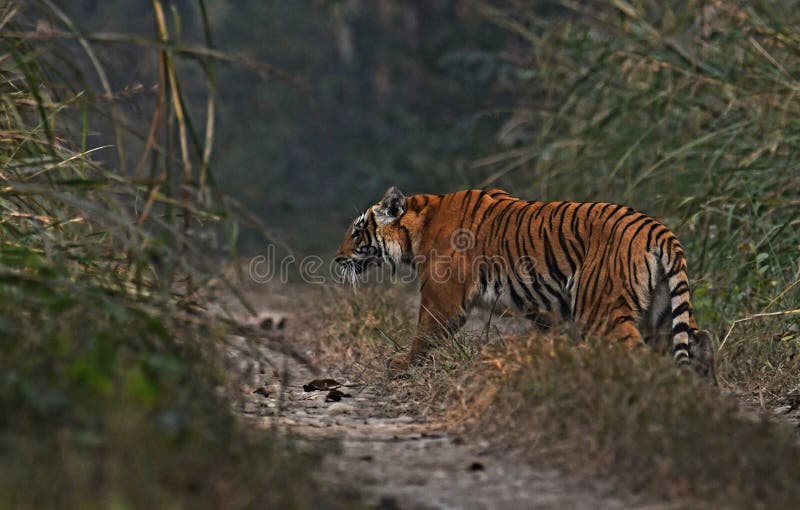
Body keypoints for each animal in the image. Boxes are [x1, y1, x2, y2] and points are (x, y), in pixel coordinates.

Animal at [335, 186, 715, 381]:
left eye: (357, 230)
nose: (337, 259)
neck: (420, 224)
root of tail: (657, 229)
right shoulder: (545, 308)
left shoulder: (442, 298)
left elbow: (424, 333)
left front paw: (400, 365)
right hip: (661, 311)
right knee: (698, 340)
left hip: (601, 308)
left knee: (637, 353)